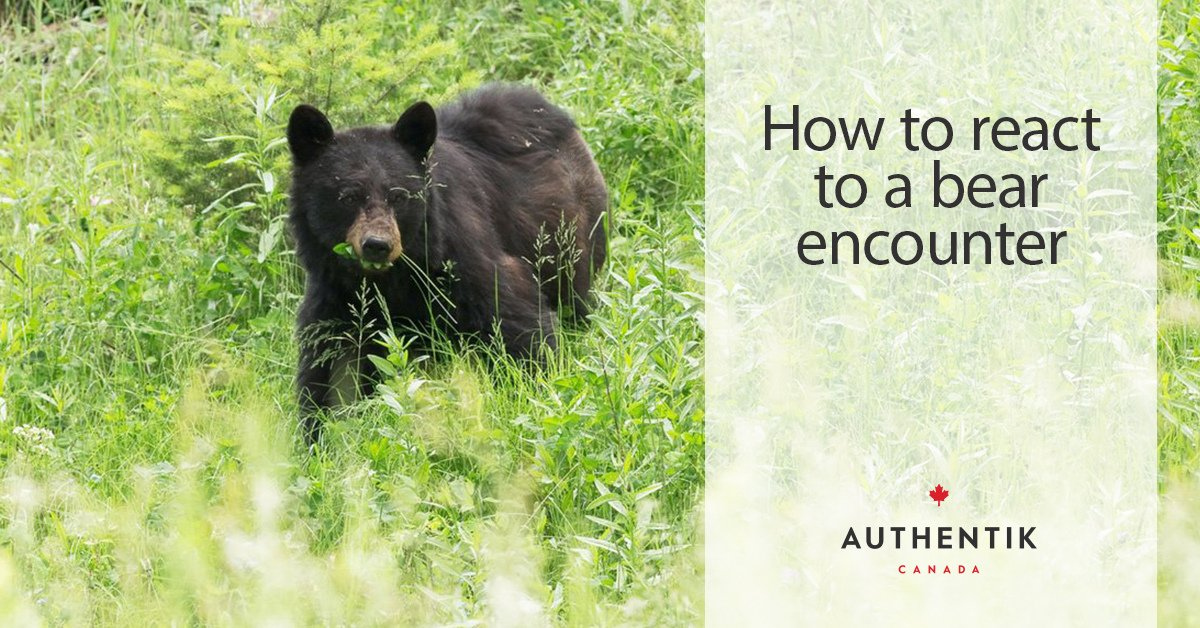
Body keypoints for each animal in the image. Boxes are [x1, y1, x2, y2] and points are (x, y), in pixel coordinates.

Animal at [286, 84, 608, 442]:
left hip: (570, 238)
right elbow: (329, 362)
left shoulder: (461, 253)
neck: (391, 278)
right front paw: (318, 433)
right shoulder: (335, 292)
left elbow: (515, 318)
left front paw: (540, 393)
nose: (377, 246)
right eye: (348, 196)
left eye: (399, 195)